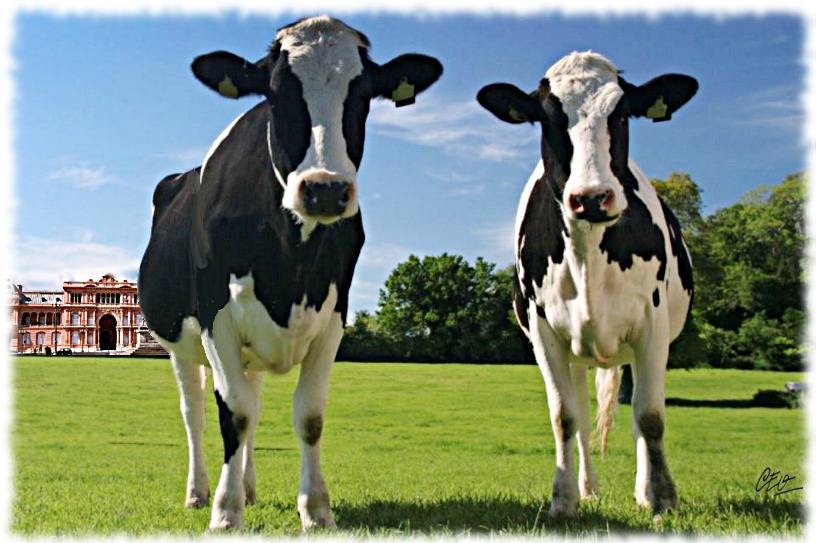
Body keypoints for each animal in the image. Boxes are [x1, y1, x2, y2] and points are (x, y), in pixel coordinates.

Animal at [138, 16, 442, 531]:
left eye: (362, 96)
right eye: (276, 94)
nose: (325, 189)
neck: (291, 265)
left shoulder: (334, 315)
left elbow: (308, 416)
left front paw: (316, 509)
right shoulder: (216, 317)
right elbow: (234, 414)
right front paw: (225, 512)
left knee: (253, 402)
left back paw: (249, 487)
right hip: (179, 341)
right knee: (197, 411)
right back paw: (200, 492)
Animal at [476, 51, 697, 520]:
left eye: (623, 115)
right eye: (546, 118)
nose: (592, 197)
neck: (588, 257)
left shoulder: (652, 325)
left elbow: (650, 416)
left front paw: (663, 498)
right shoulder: (544, 331)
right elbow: (564, 417)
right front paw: (563, 500)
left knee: (635, 415)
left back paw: (641, 490)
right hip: (578, 353)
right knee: (579, 410)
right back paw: (589, 489)